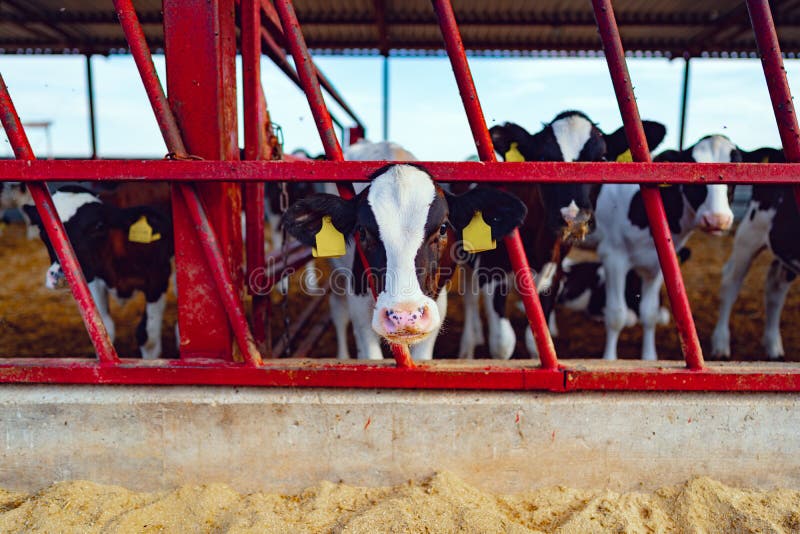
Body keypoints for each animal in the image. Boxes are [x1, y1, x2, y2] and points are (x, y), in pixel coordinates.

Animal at [23, 186, 174, 359]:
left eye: (99, 226)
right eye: (43, 230)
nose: (62, 274)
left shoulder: (159, 277)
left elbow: (148, 337)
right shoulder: (95, 280)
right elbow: (103, 331)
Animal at [282, 155, 527, 361]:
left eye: (443, 228)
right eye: (362, 231)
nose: (405, 315)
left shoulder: (437, 304)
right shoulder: (359, 301)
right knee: (338, 310)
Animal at [457, 110, 667, 360]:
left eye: (602, 158)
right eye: (542, 158)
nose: (573, 218)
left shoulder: (553, 275)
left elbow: (537, 341)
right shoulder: (491, 271)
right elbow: (503, 343)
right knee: (469, 300)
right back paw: (468, 348)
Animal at [595, 134, 738, 360]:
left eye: (736, 168)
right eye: (692, 167)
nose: (718, 219)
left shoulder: (657, 263)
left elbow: (649, 313)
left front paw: (649, 358)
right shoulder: (613, 256)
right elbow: (616, 315)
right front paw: (609, 360)